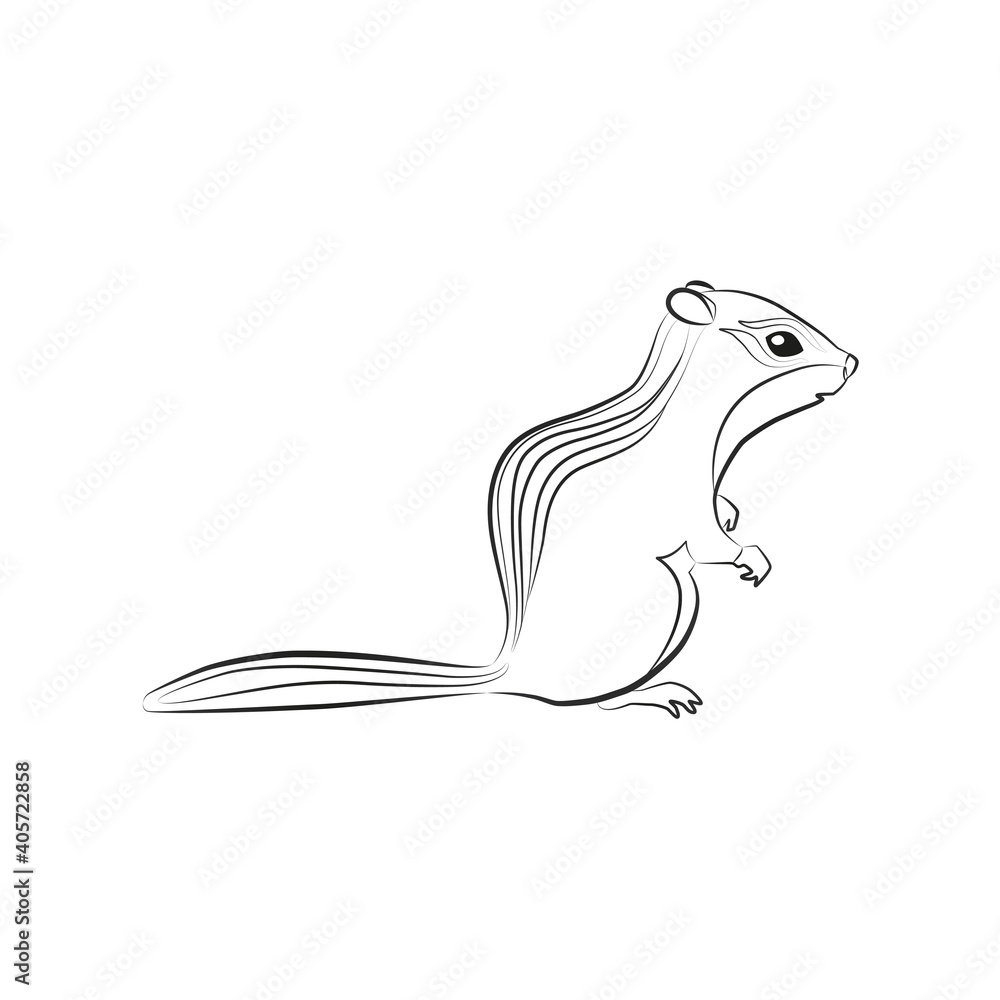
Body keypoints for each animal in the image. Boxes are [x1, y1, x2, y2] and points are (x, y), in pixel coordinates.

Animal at [144, 281, 858, 717]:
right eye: (782, 342)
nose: (851, 362)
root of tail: (511, 672)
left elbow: (723, 508)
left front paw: (739, 517)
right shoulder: (679, 502)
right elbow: (707, 539)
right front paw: (751, 557)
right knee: (580, 703)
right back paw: (651, 697)